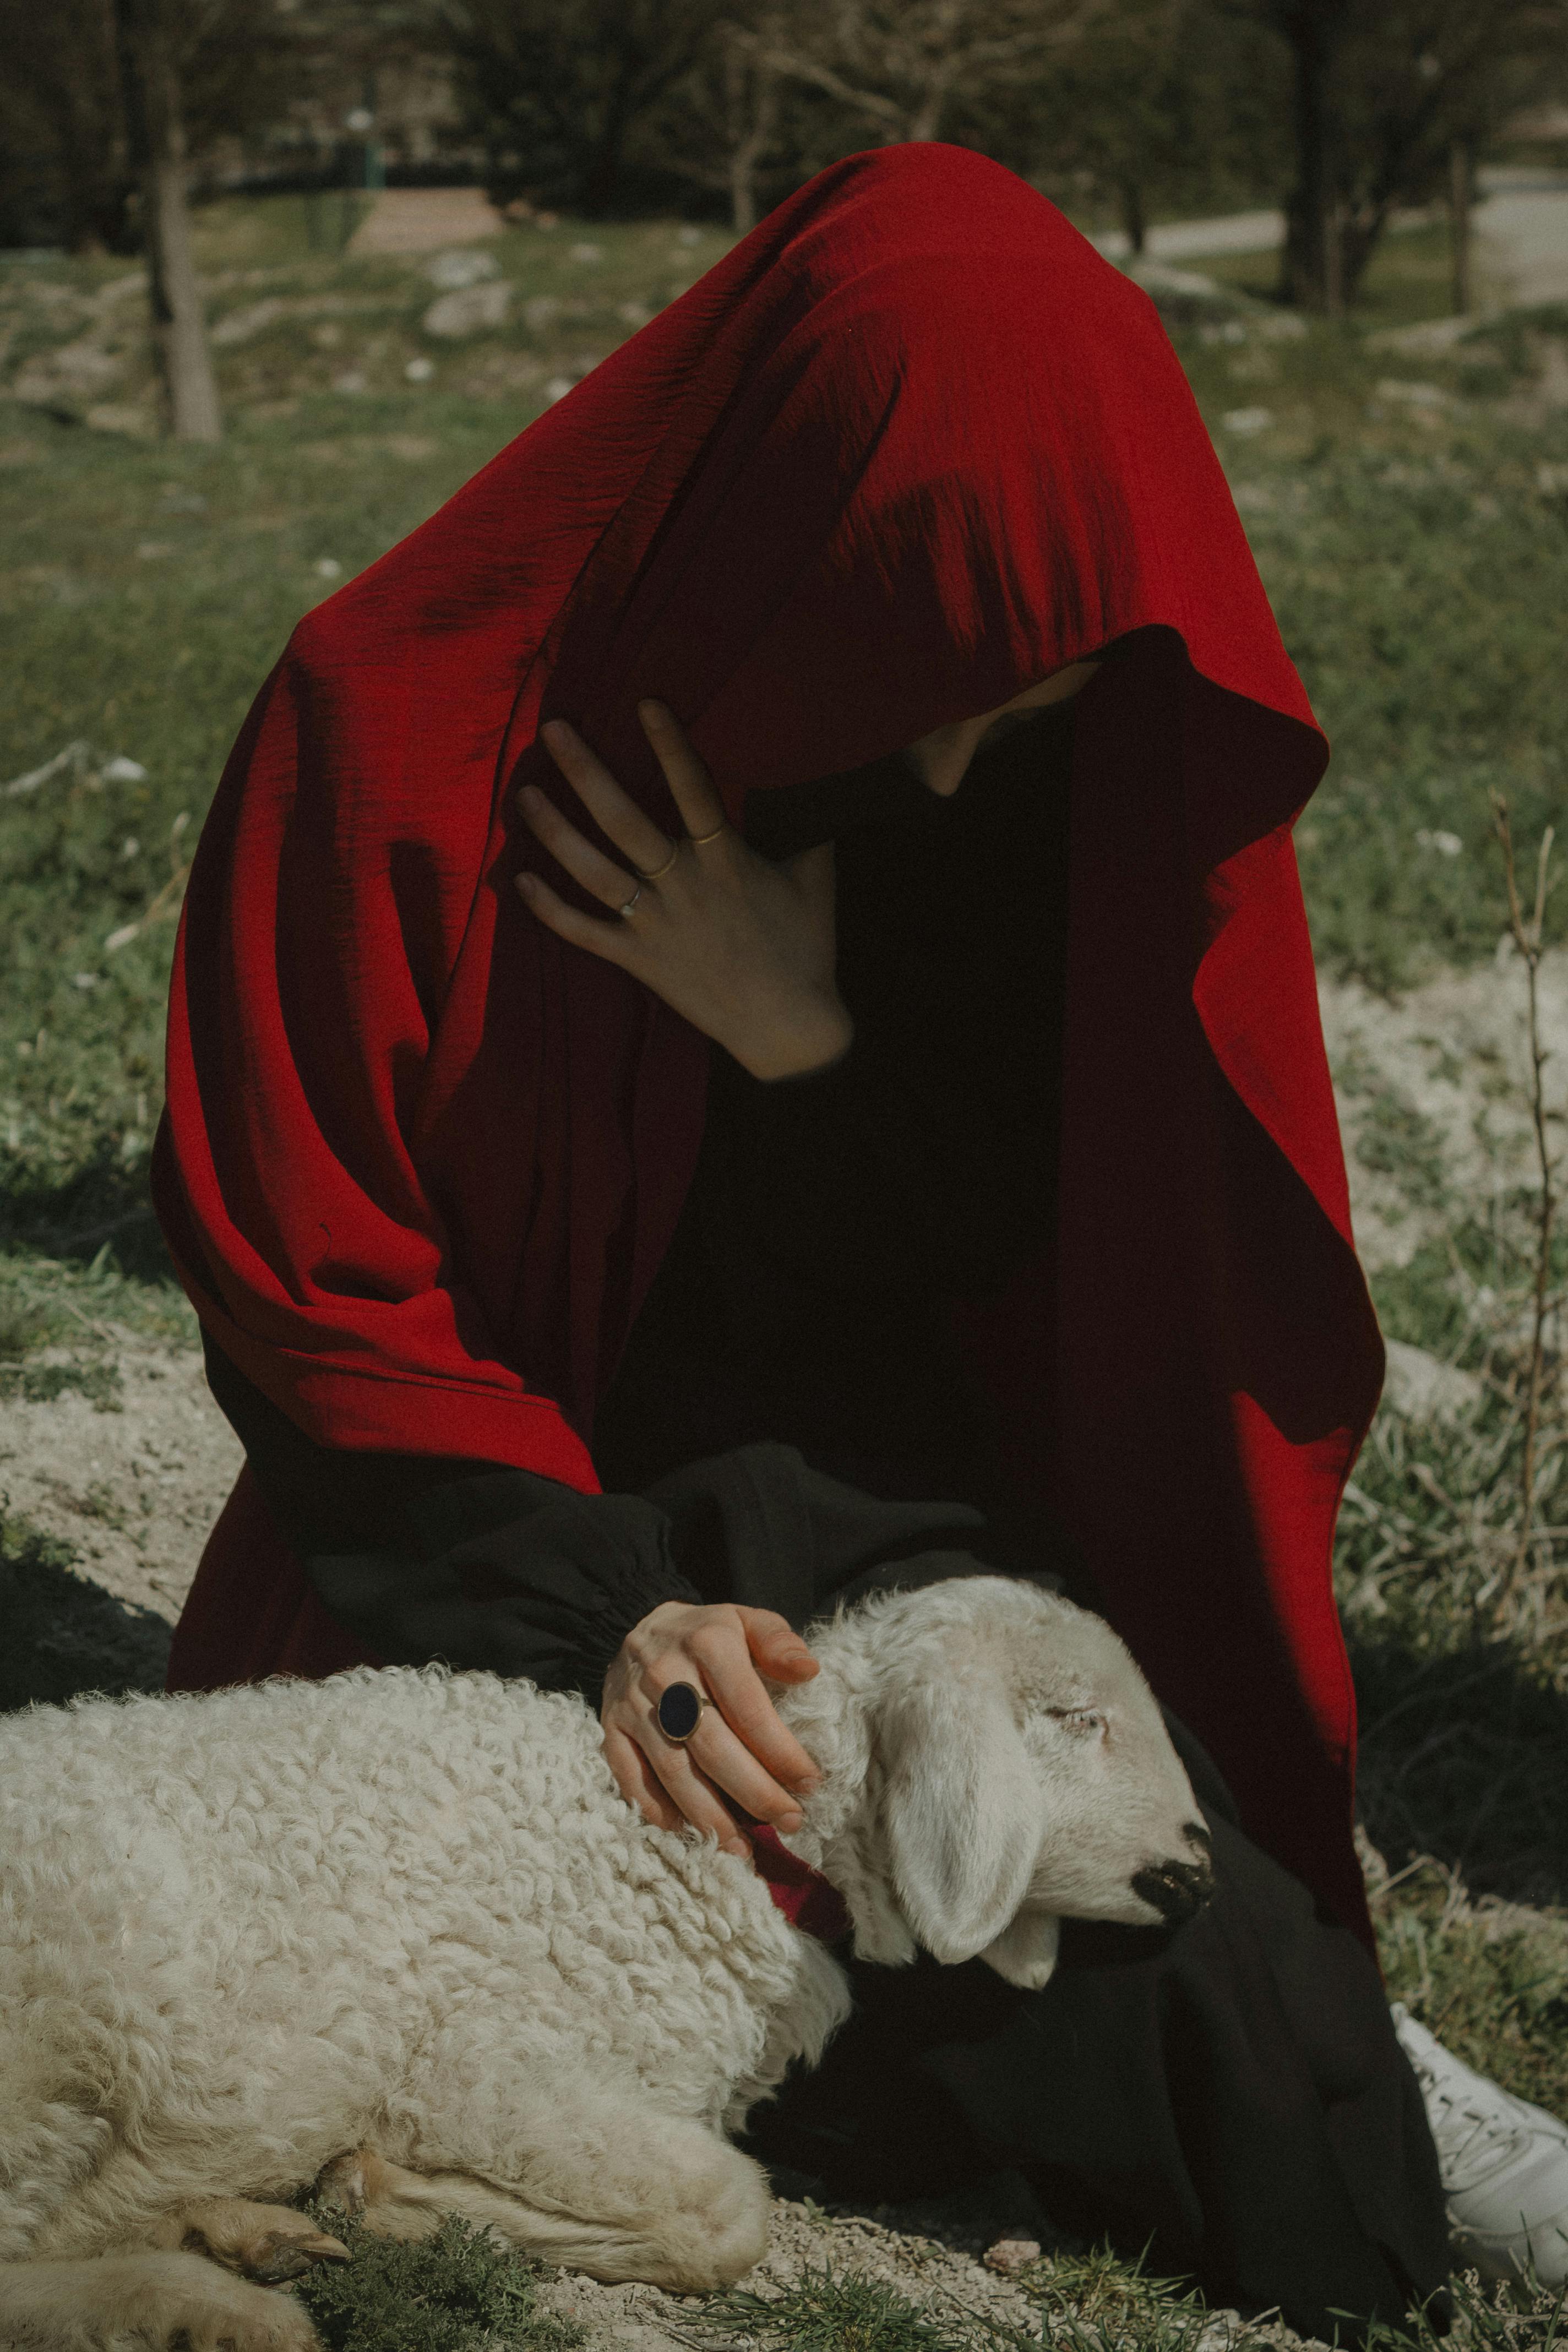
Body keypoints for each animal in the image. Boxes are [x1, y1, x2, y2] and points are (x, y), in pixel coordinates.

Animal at [0, 1571, 1212, 2351]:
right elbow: (729, 2210)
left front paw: (377, 2200)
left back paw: (237, 2243)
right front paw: (390, 2190)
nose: (1198, 1873)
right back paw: (215, 2307)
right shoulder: (480, 2065)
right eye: (1075, 1717)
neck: (722, 1846)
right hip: (97, 2039)